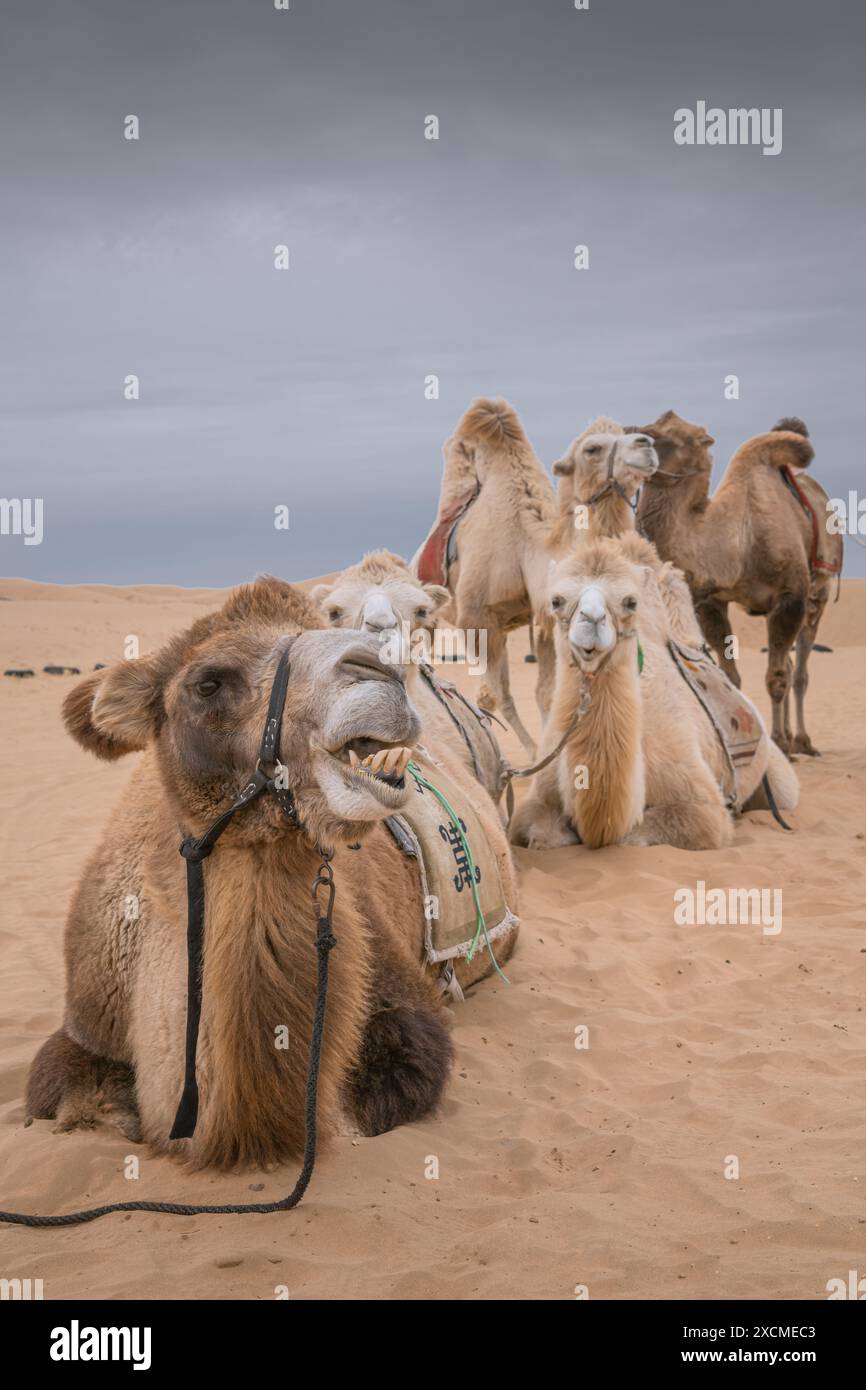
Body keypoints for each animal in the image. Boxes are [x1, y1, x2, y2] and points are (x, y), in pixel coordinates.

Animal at [413, 400, 659, 755]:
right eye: (592, 449)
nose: (647, 445)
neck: (526, 548)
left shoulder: (545, 618)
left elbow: (545, 693)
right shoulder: (478, 619)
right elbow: (501, 696)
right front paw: (532, 754)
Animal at [509, 535, 799, 851]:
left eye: (630, 602)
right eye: (556, 601)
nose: (592, 620)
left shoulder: (704, 808)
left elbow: (632, 837)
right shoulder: (536, 800)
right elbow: (534, 832)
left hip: (775, 777)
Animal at [634, 412, 842, 756]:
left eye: (670, 436)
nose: (629, 432)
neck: (737, 544)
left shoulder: (790, 596)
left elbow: (777, 678)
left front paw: (779, 744)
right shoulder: (711, 600)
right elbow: (731, 677)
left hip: (818, 597)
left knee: (799, 672)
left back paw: (802, 742)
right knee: (788, 662)